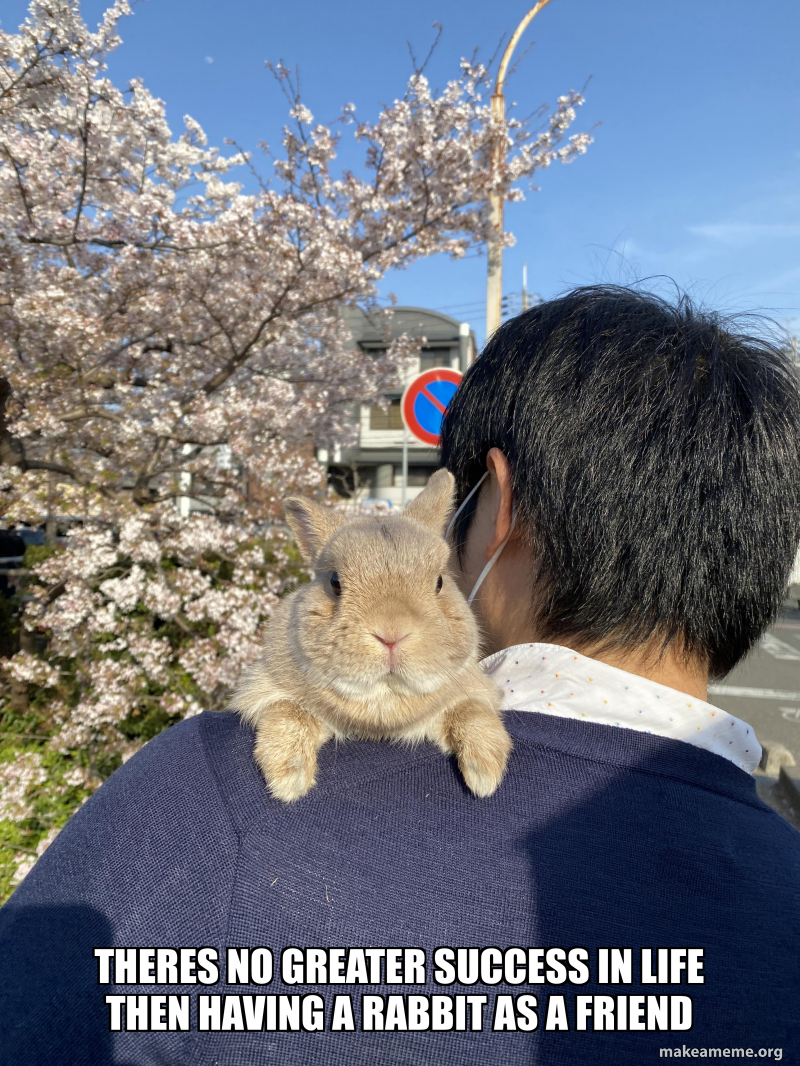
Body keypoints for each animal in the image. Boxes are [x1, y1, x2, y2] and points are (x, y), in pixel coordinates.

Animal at [229, 468, 512, 803]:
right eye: (335, 582)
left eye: (440, 582)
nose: (391, 633)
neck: (383, 698)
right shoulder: (266, 689)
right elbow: (289, 711)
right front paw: (288, 779)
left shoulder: (470, 695)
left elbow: (472, 711)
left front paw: (485, 774)